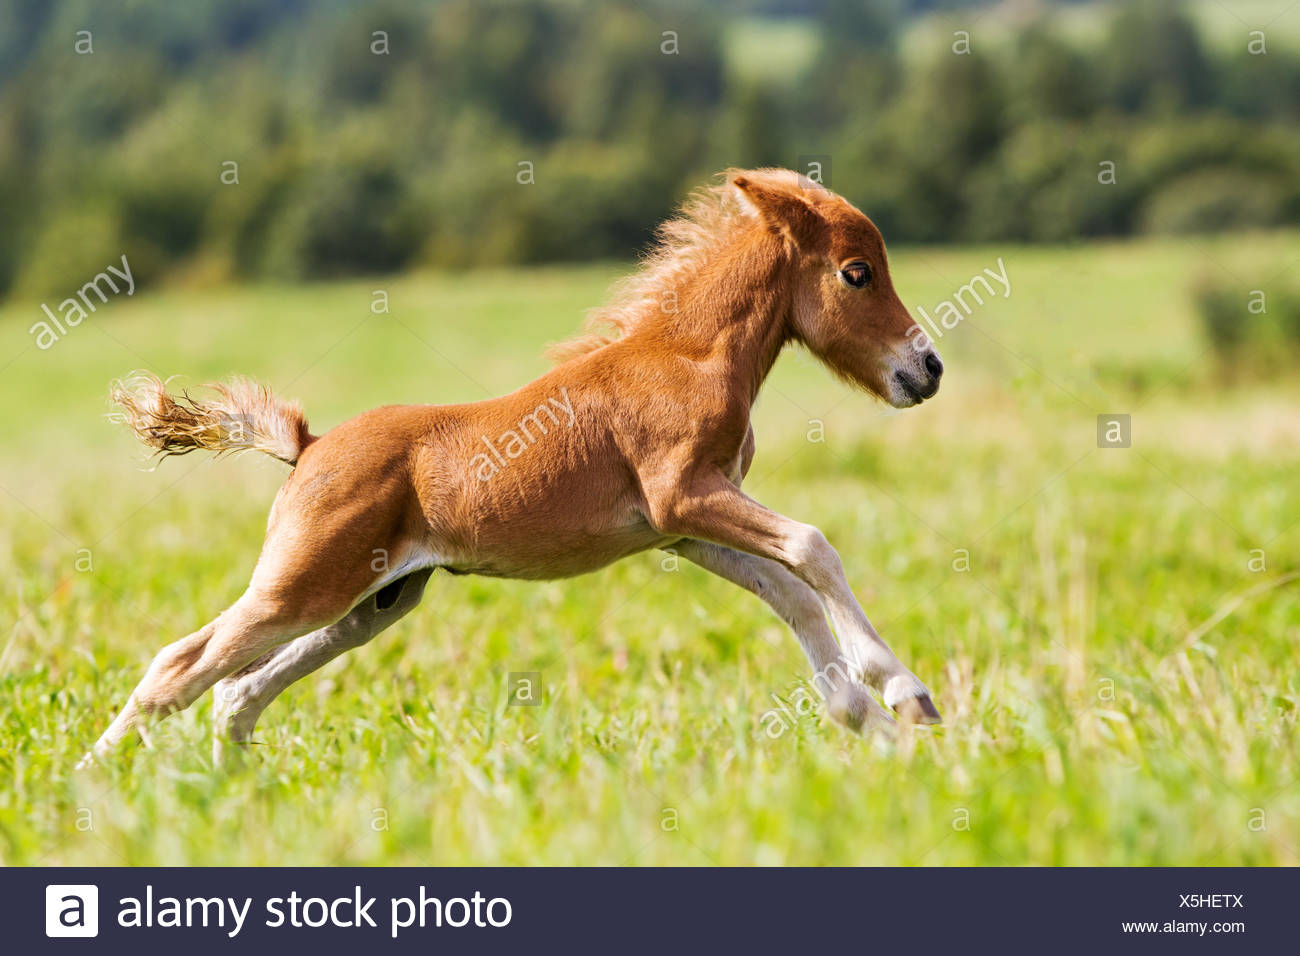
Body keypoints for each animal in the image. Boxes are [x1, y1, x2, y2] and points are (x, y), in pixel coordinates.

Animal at [80, 168, 945, 767]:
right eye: (856, 272)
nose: (927, 368)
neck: (687, 356)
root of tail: (310, 445)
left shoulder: (680, 528)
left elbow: (792, 594)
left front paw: (873, 718)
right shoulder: (685, 497)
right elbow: (811, 548)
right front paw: (901, 690)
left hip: (377, 599)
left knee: (236, 688)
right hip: (302, 583)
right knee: (181, 663)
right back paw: (91, 783)